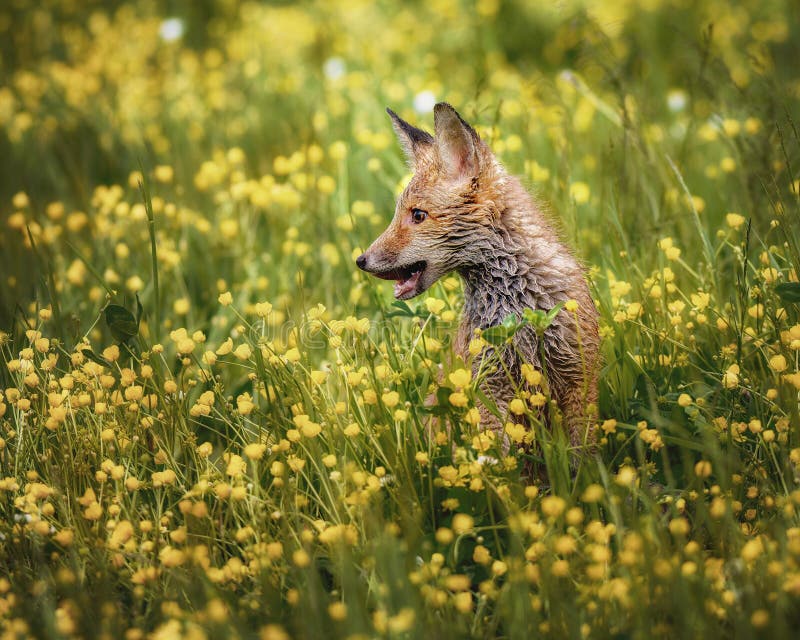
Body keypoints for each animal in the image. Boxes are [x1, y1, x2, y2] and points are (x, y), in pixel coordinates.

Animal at [356, 102, 600, 457]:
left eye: (418, 215)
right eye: (397, 214)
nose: (361, 260)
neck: (519, 305)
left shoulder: (579, 377)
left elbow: (585, 457)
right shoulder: (489, 387)